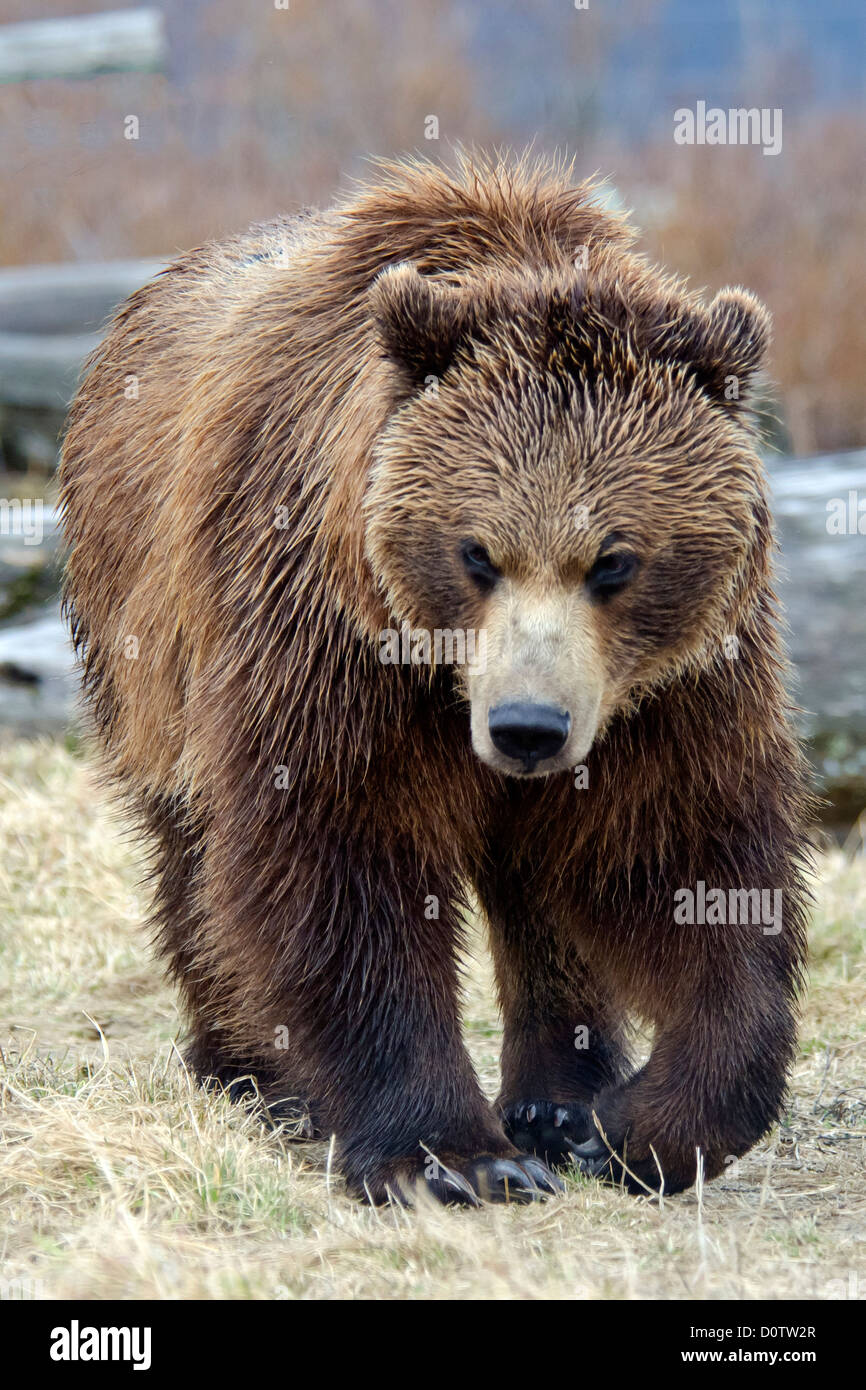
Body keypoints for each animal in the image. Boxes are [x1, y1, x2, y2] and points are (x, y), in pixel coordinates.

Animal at [59, 152, 813, 1205]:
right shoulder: (327, 632)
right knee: (194, 852)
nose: (528, 727)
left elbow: (684, 857)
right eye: (476, 552)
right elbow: (340, 853)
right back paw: (254, 1070)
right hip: (146, 637)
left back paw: (558, 1099)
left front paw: (633, 1129)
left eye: (615, 560)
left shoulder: (670, 689)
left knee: (538, 884)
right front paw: (452, 1157)